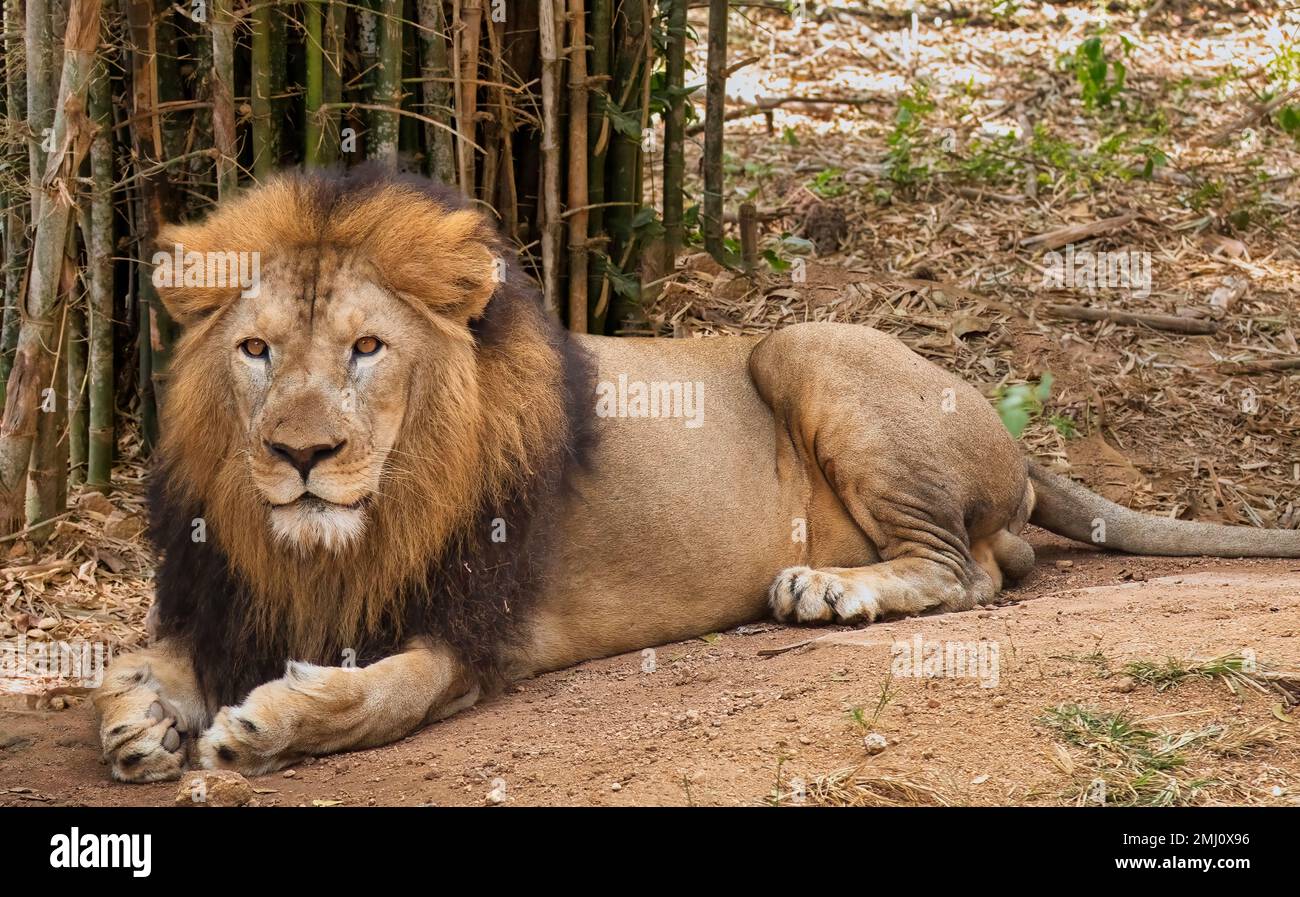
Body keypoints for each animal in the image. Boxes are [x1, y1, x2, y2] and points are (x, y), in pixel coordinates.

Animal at [93, 167, 1300, 782]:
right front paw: (135, 725)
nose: (301, 455)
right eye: (256, 351)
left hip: (803, 345)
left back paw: (828, 589)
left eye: (367, 348)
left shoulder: (475, 636)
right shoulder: (220, 601)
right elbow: (129, 665)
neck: (325, 542)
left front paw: (266, 725)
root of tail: (1011, 437)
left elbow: (377, 697)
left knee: (971, 572)